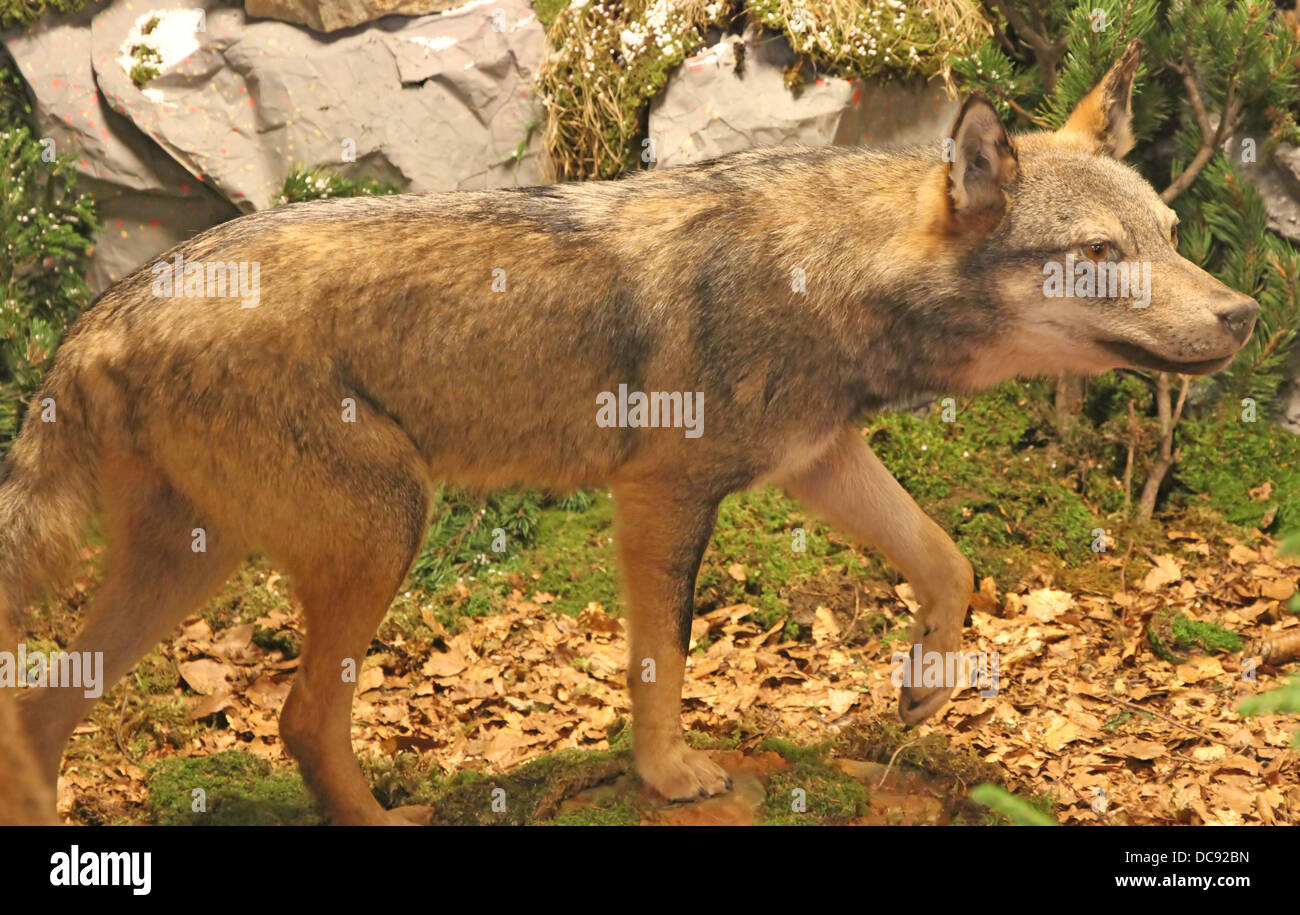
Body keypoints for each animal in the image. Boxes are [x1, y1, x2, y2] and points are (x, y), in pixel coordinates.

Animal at [0, 39, 1257, 825]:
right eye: (1100, 255)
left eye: (1170, 233)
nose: (1244, 315)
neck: (834, 277)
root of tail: (112, 303)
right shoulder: (663, 498)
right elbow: (663, 661)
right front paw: (669, 774)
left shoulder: (818, 463)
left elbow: (949, 561)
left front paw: (922, 690)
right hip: (380, 530)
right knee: (302, 720)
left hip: (195, 566)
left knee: (43, 707)